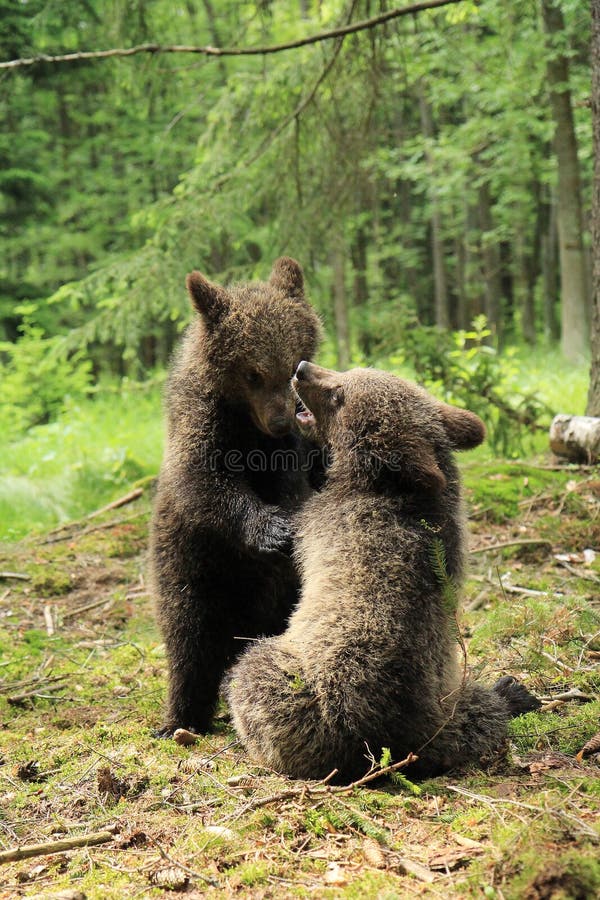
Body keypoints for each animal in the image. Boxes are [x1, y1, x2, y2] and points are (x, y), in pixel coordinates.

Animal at [150, 258, 322, 736]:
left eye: (293, 365)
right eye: (253, 372)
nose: (281, 421)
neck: (246, 424)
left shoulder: (289, 452)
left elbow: (294, 481)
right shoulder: (202, 426)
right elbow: (204, 481)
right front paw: (270, 530)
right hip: (195, 568)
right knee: (190, 637)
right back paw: (181, 718)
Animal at [227, 362, 540, 781]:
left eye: (339, 394)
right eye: (349, 371)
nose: (303, 369)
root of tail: (383, 738)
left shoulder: (318, 521)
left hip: (296, 689)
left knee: (251, 673)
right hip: (442, 706)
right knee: (474, 718)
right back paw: (510, 694)